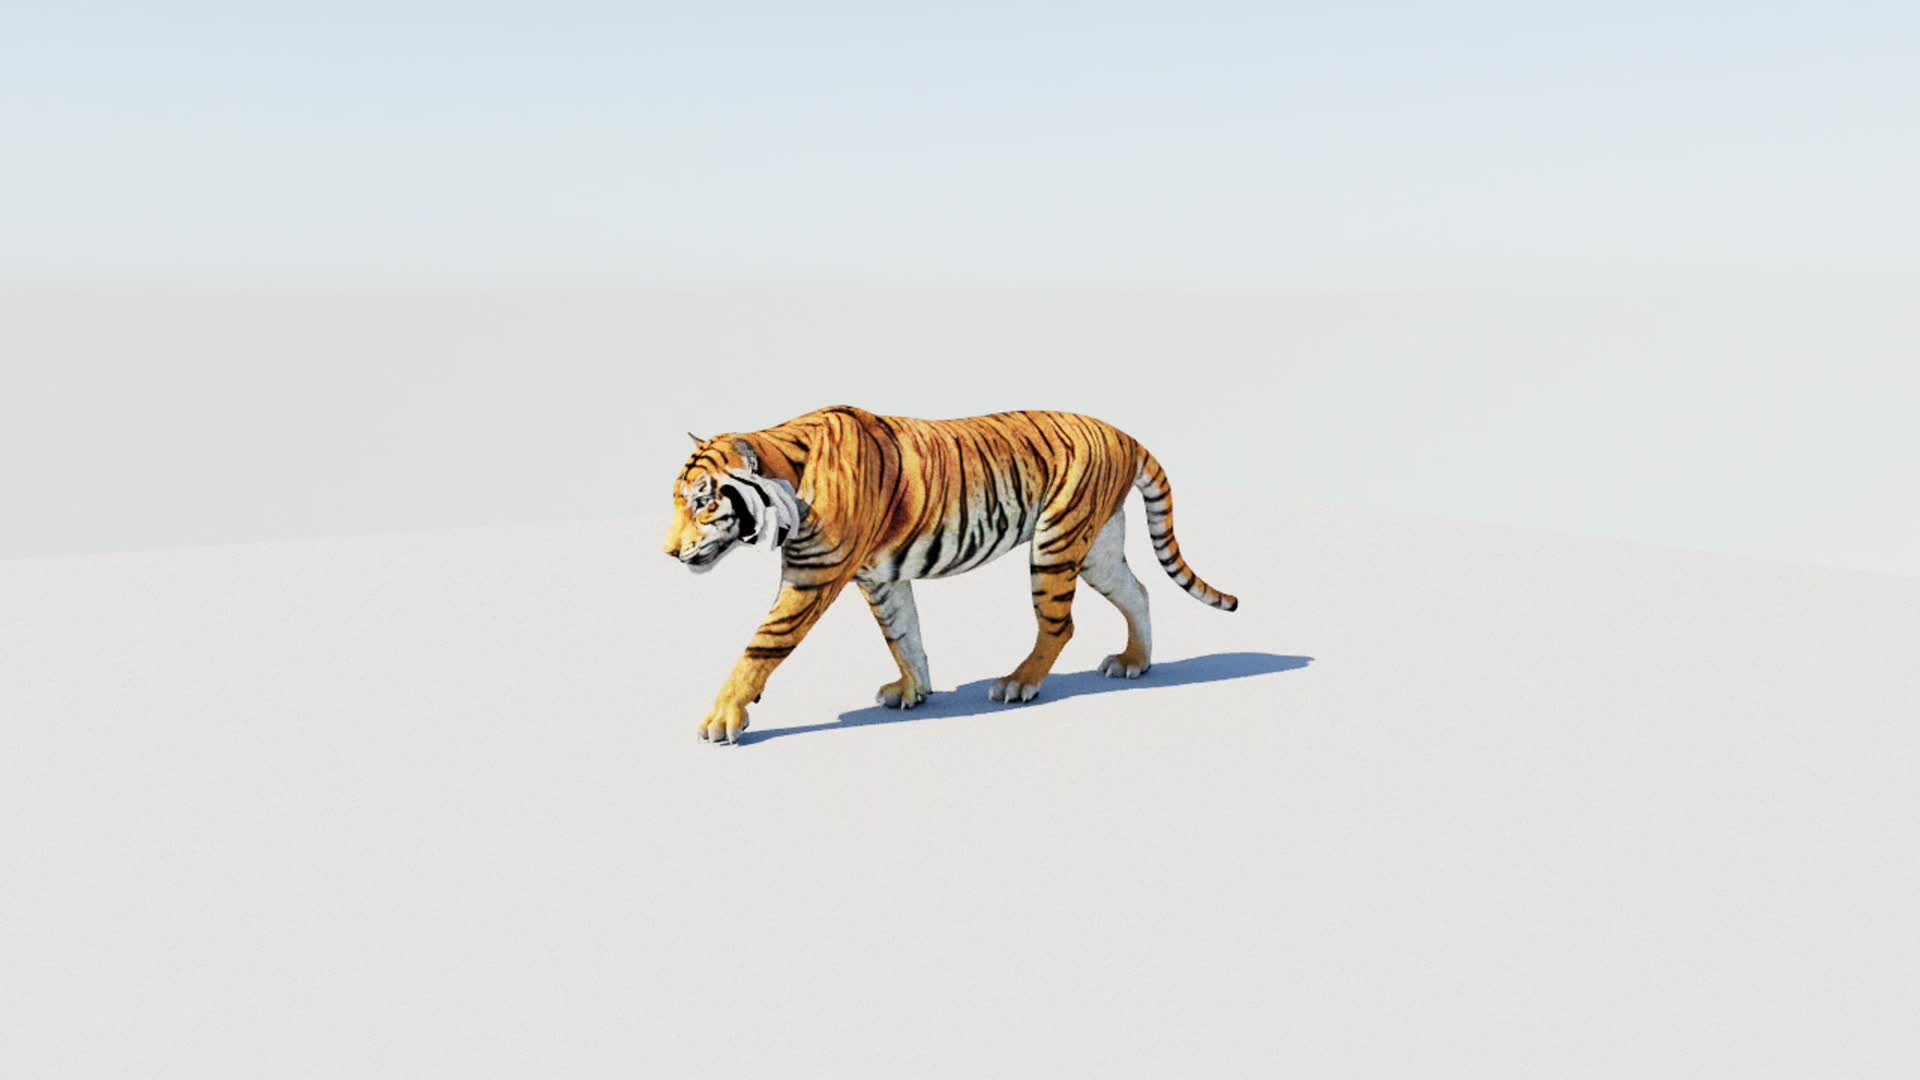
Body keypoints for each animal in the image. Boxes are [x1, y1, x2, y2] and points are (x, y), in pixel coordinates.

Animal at [663, 405, 1238, 743]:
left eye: (702, 503)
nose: (667, 552)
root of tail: (1124, 434)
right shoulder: (881, 577)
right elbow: (903, 635)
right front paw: (913, 691)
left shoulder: (812, 576)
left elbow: (761, 646)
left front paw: (722, 717)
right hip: (1097, 547)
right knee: (1137, 591)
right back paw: (1135, 662)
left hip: (1056, 541)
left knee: (1061, 624)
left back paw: (1019, 682)